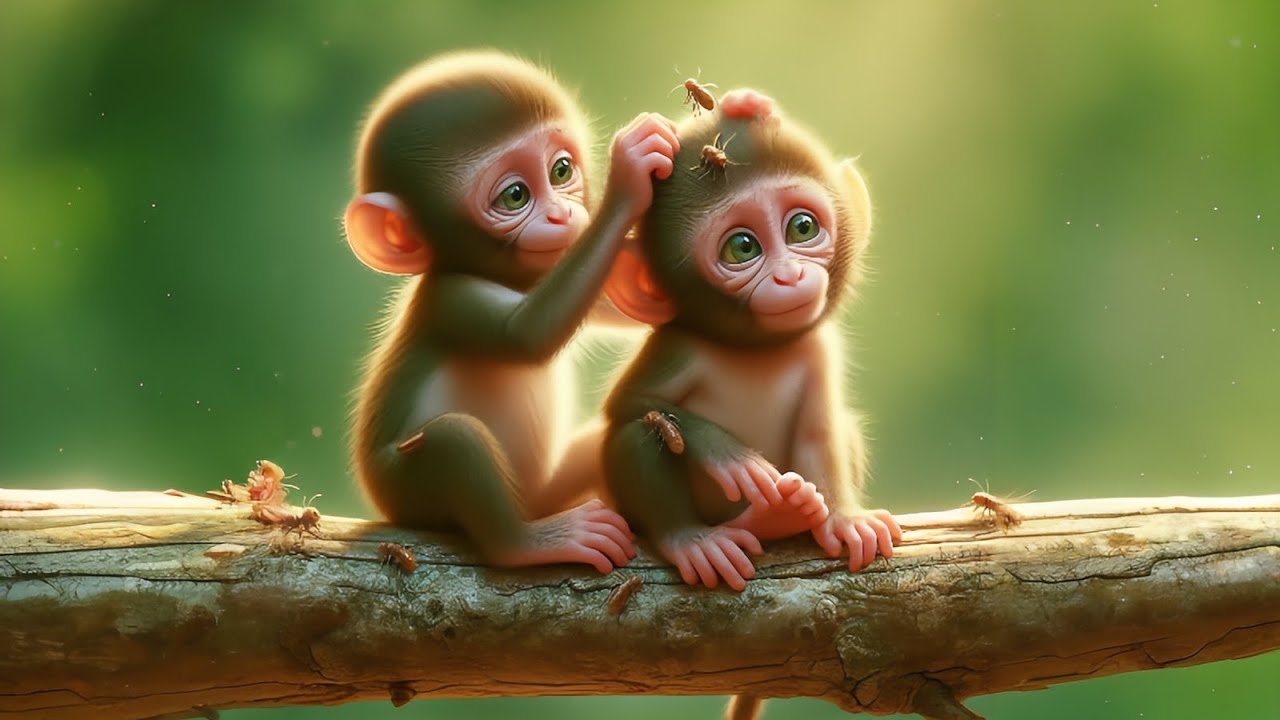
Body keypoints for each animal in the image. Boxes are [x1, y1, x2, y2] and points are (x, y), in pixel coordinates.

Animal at [344, 51, 680, 574]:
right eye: (515, 196)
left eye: (561, 171)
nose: (562, 215)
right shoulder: (452, 295)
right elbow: (525, 334)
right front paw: (629, 175)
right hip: (404, 492)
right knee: (455, 440)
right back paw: (532, 542)